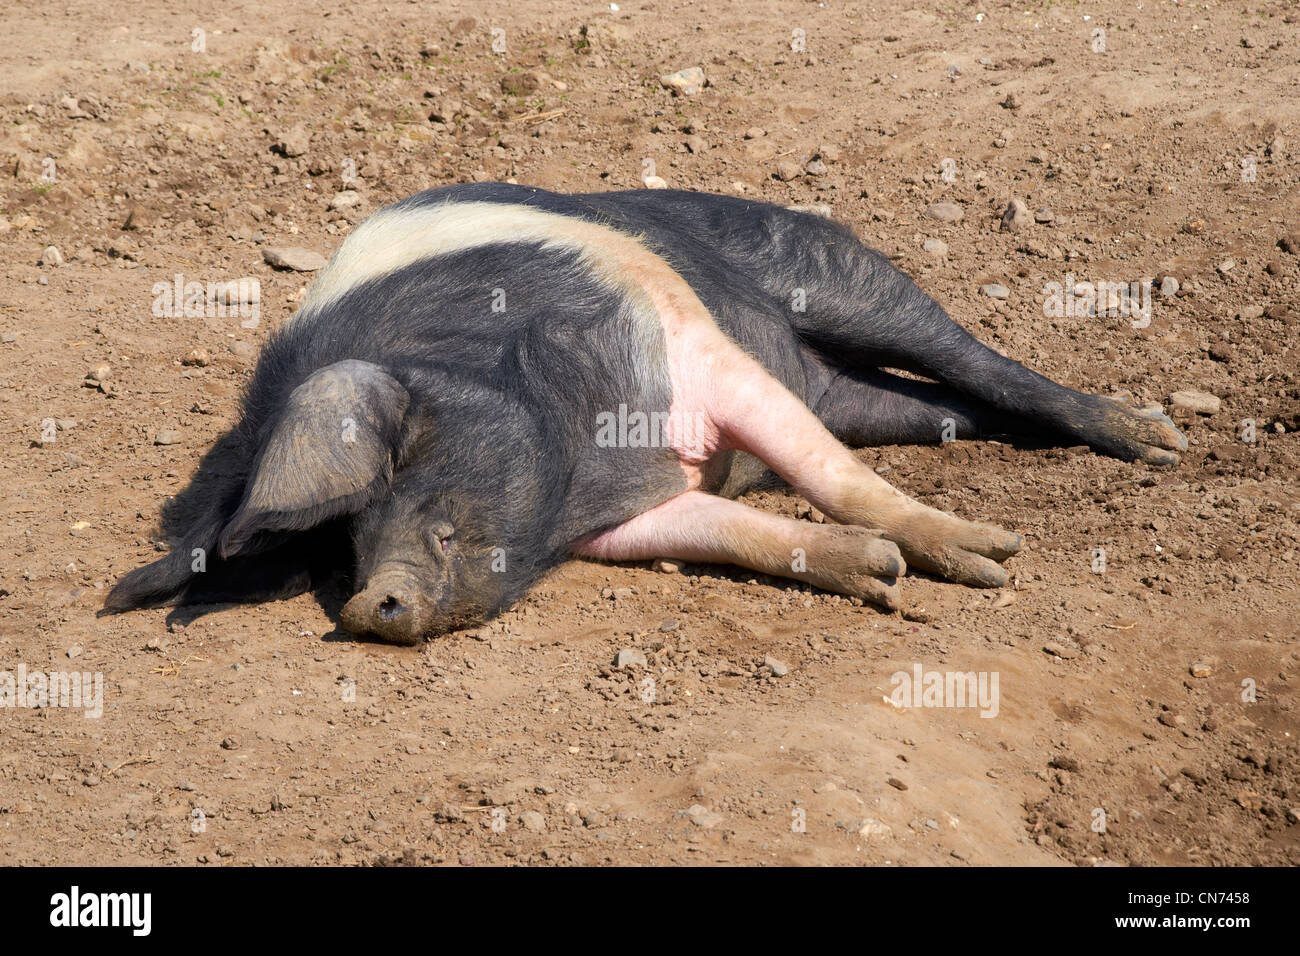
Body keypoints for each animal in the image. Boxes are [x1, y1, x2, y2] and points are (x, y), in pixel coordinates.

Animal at [103, 183, 1186, 643]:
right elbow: (744, 532)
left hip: (825, 265)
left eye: (405, 459)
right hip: (853, 388)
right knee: (927, 405)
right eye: (333, 543)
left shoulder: (691, 347)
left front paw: (986, 563)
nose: (372, 606)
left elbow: (827, 473)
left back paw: (1159, 440)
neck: (583, 469)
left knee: (964, 358)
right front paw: (878, 574)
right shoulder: (626, 519)